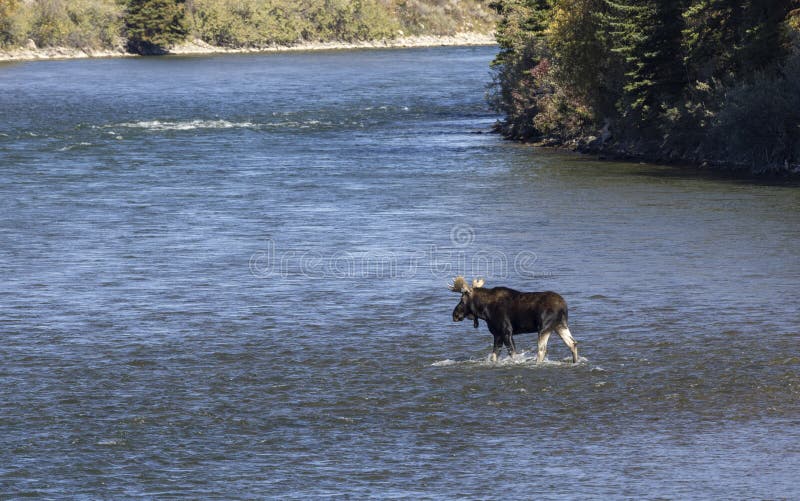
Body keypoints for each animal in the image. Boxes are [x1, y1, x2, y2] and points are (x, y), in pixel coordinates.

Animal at [449, 276, 579, 363]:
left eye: (462, 300)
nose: (454, 314)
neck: (484, 311)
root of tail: (564, 306)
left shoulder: (506, 331)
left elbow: (513, 354)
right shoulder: (497, 334)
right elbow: (495, 356)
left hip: (544, 328)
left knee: (542, 350)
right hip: (560, 326)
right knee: (573, 343)